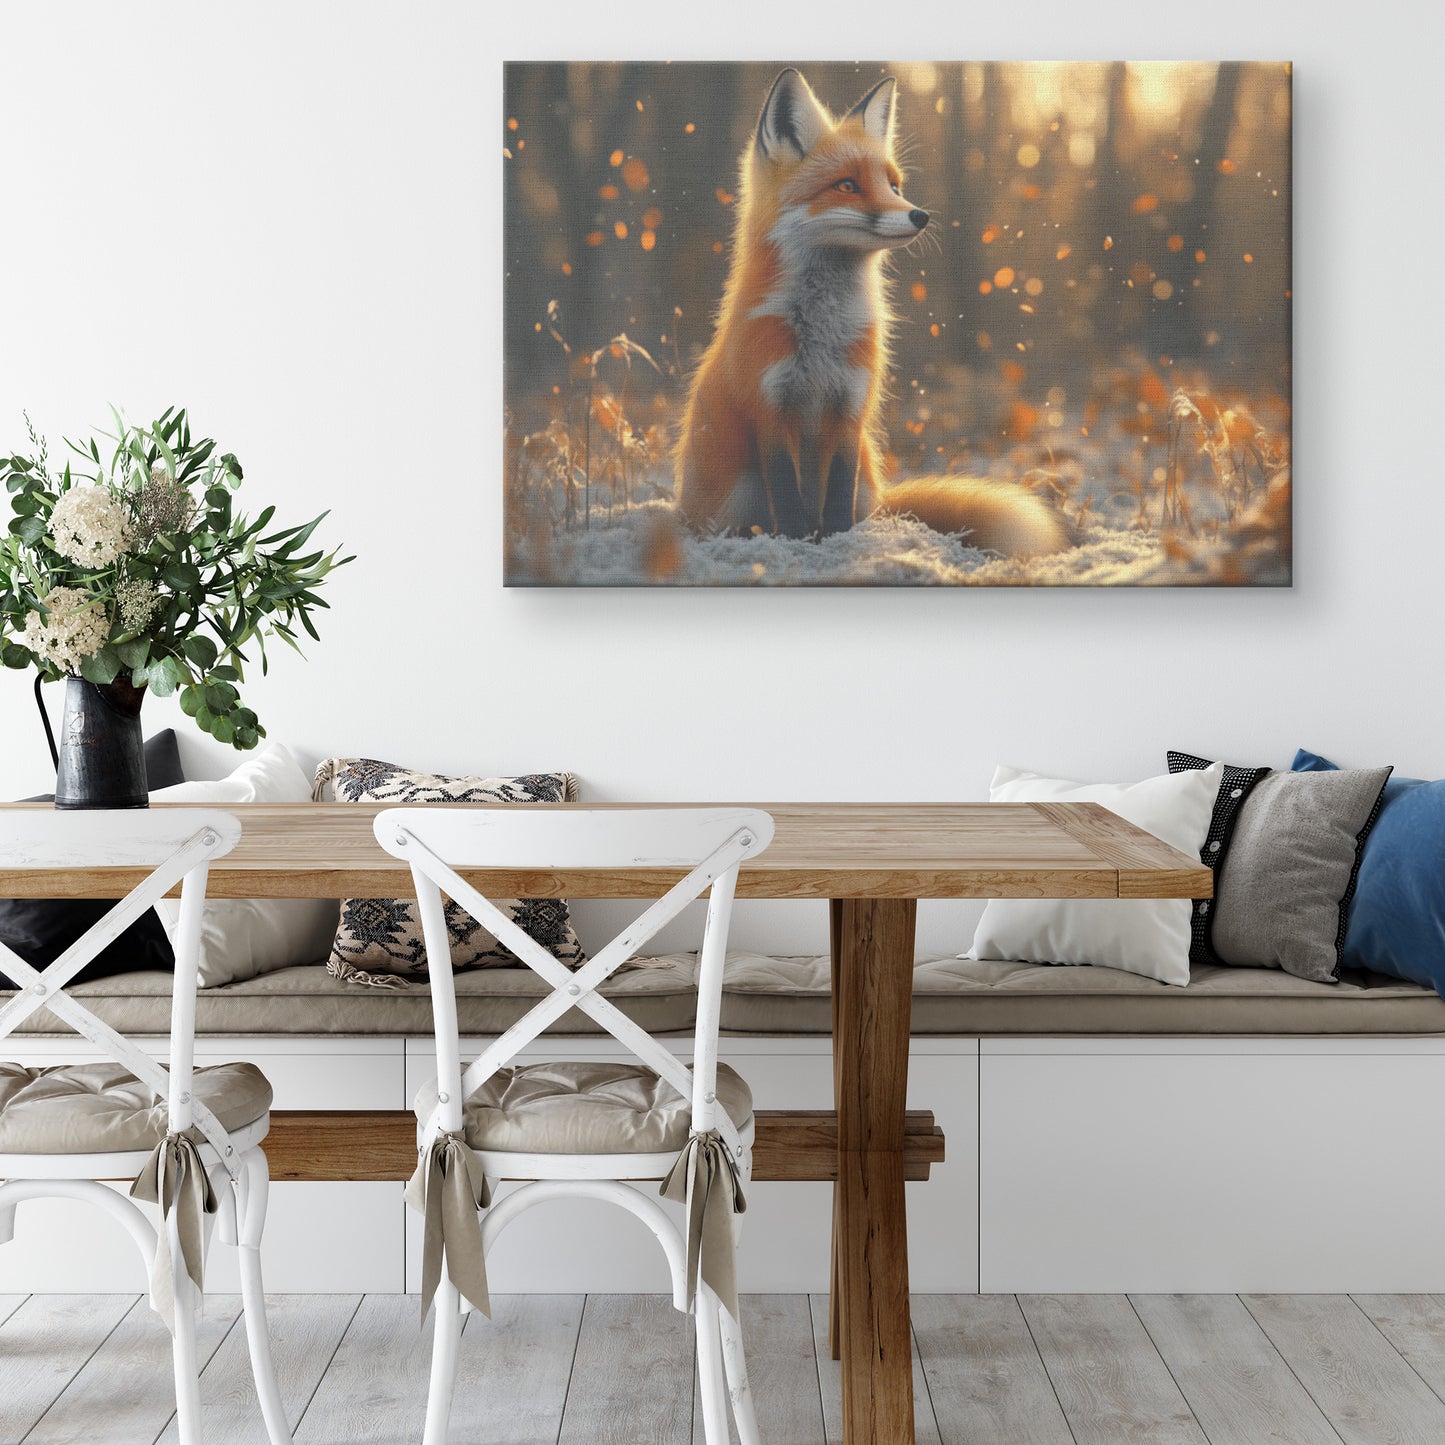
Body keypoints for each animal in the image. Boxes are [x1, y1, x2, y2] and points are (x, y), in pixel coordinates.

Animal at [674, 68, 1071, 556]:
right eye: (847, 185)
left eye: (894, 186)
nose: (921, 216)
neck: (821, 337)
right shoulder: (769, 409)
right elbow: (787, 499)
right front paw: (798, 544)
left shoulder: (851, 406)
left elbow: (838, 494)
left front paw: (839, 540)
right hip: (739, 494)